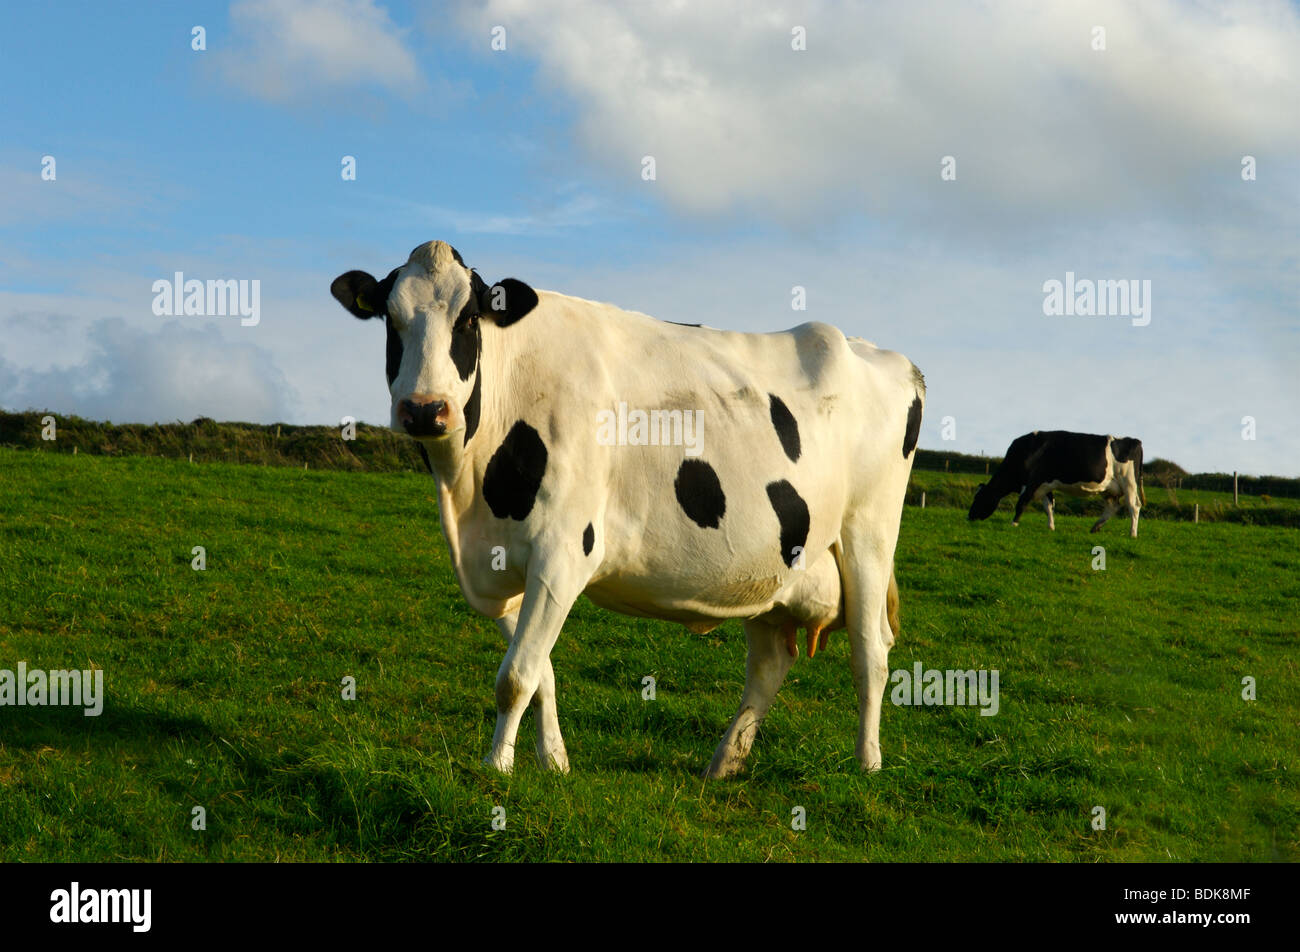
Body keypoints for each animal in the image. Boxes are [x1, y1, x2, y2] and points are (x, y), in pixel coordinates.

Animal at [329, 240, 925, 777]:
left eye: (470, 319)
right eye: (391, 320)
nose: (425, 409)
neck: (471, 492)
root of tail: (887, 356)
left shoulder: (563, 554)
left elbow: (515, 677)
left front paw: (496, 768)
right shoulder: (502, 563)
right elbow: (540, 672)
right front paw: (554, 761)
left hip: (869, 535)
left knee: (871, 651)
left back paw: (867, 764)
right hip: (775, 564)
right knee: (771, 661)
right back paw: (725, 761)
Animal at [967, 430, 1146, 537]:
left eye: (978, 499)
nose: (969, 517)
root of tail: (1135, 441)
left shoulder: (1032, 481)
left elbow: (1022, 503)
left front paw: (1014, 523)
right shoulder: (1045, 485)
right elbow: (1049, 506)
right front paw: (1051, 527)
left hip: (1129, 482)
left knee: (1133, 506)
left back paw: (1132, 533)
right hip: (1109, 488)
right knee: (1112, 507)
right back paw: (1095, 527)